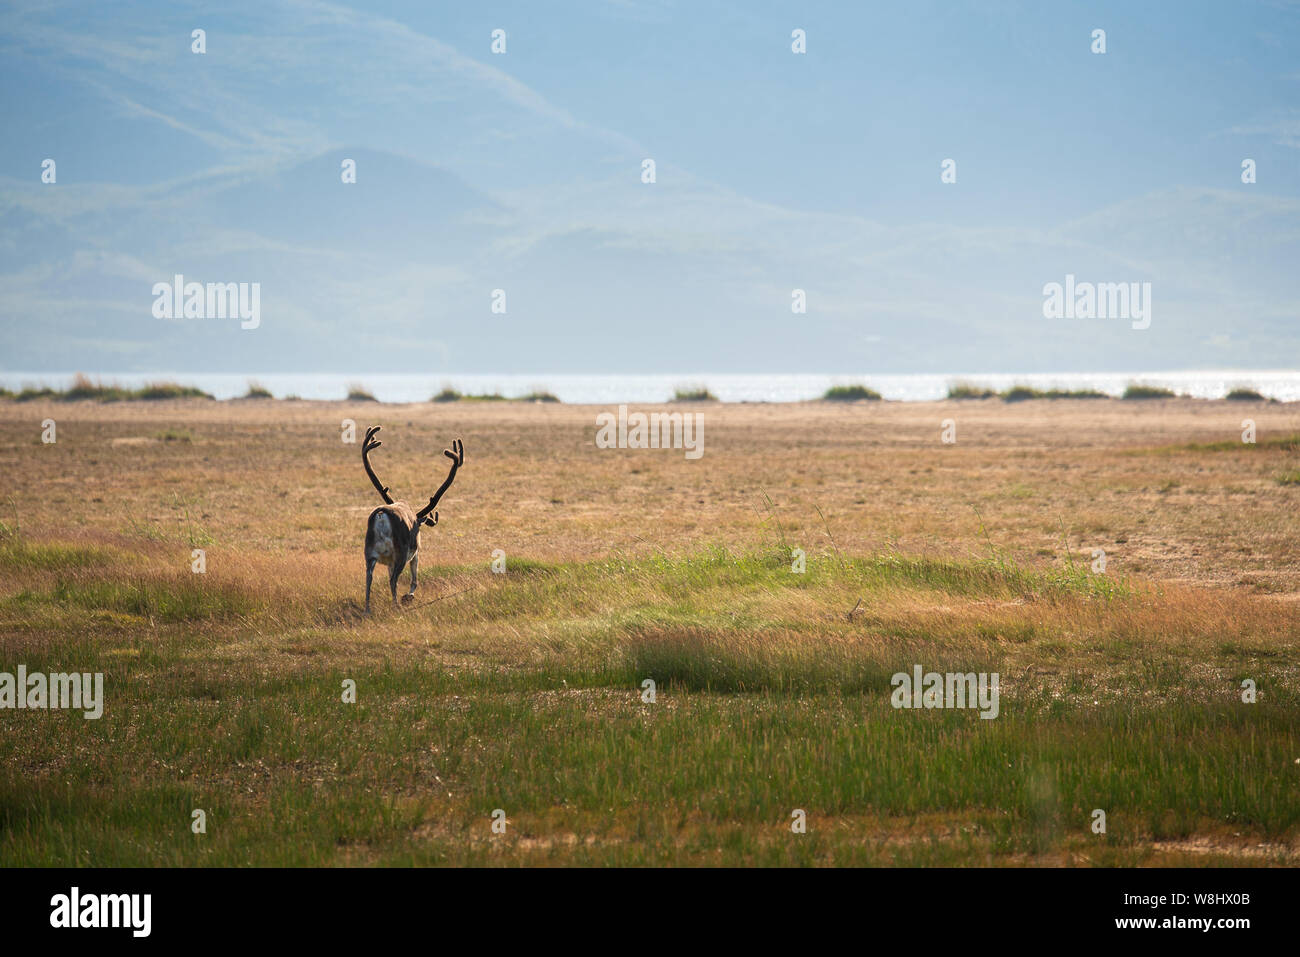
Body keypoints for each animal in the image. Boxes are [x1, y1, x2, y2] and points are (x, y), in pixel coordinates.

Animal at [360, 426, 464, 613]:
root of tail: (381, 516)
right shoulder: (415, 552)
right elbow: (415, 580)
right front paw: (409, 596)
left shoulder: (388, 562)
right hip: (400, 553)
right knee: (393, 580)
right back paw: (396, 605)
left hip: (370, 553)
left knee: (368, 579)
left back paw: (368, 609)